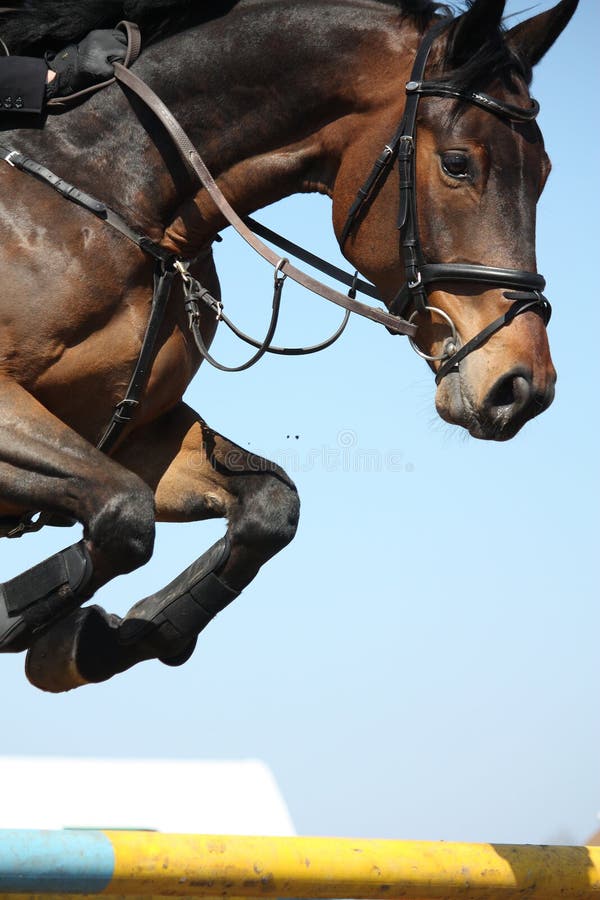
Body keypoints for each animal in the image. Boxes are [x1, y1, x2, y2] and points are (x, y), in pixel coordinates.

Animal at [0, 0, 578, 691]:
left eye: (544, 174)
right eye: (458, 164)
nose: (522, 386)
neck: (120, 191)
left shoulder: (136, 432)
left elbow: (266, 507)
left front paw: (88, 643)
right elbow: (123, 513)